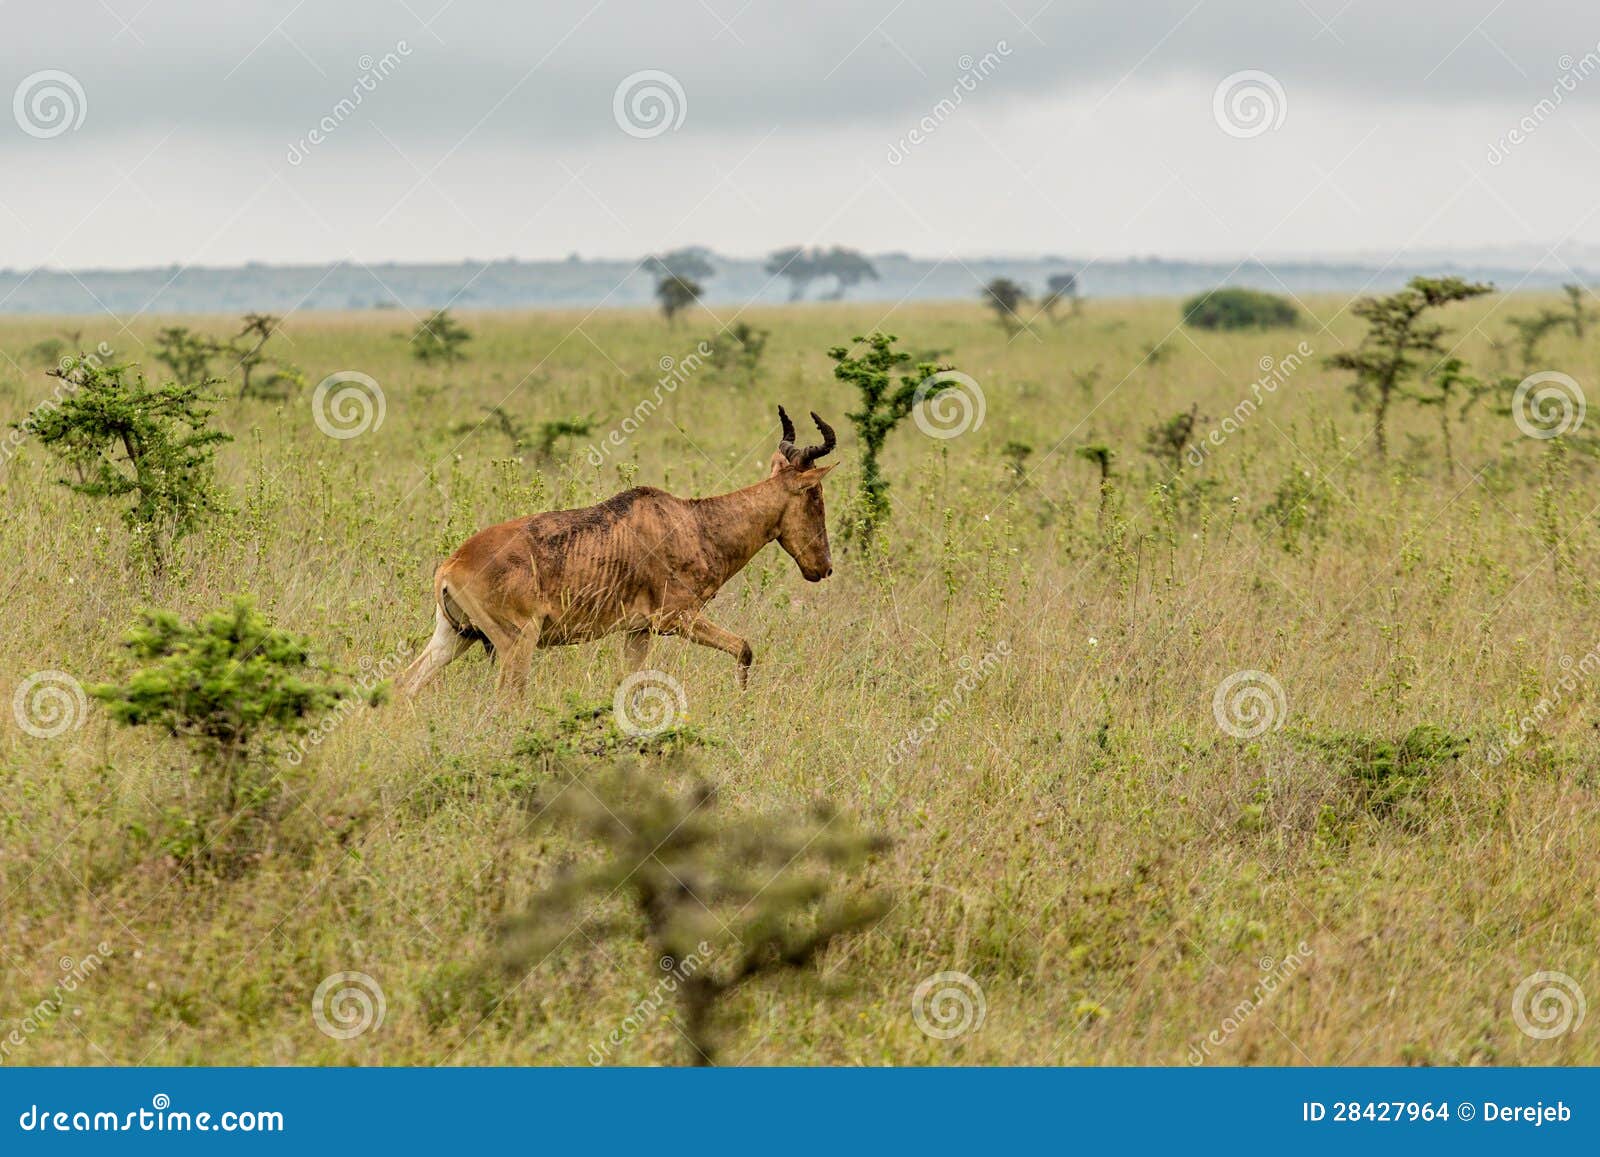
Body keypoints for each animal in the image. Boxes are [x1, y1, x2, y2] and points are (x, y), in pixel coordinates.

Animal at [398, 407, 837, 697]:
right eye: (815, 494)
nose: (824, 567)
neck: (690, 521)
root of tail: (450, 566)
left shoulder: (638, 631)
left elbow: (625, 683)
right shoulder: (677, 619)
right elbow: (744, 648)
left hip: (455, 635)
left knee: (404, 684)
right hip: (514, 642)